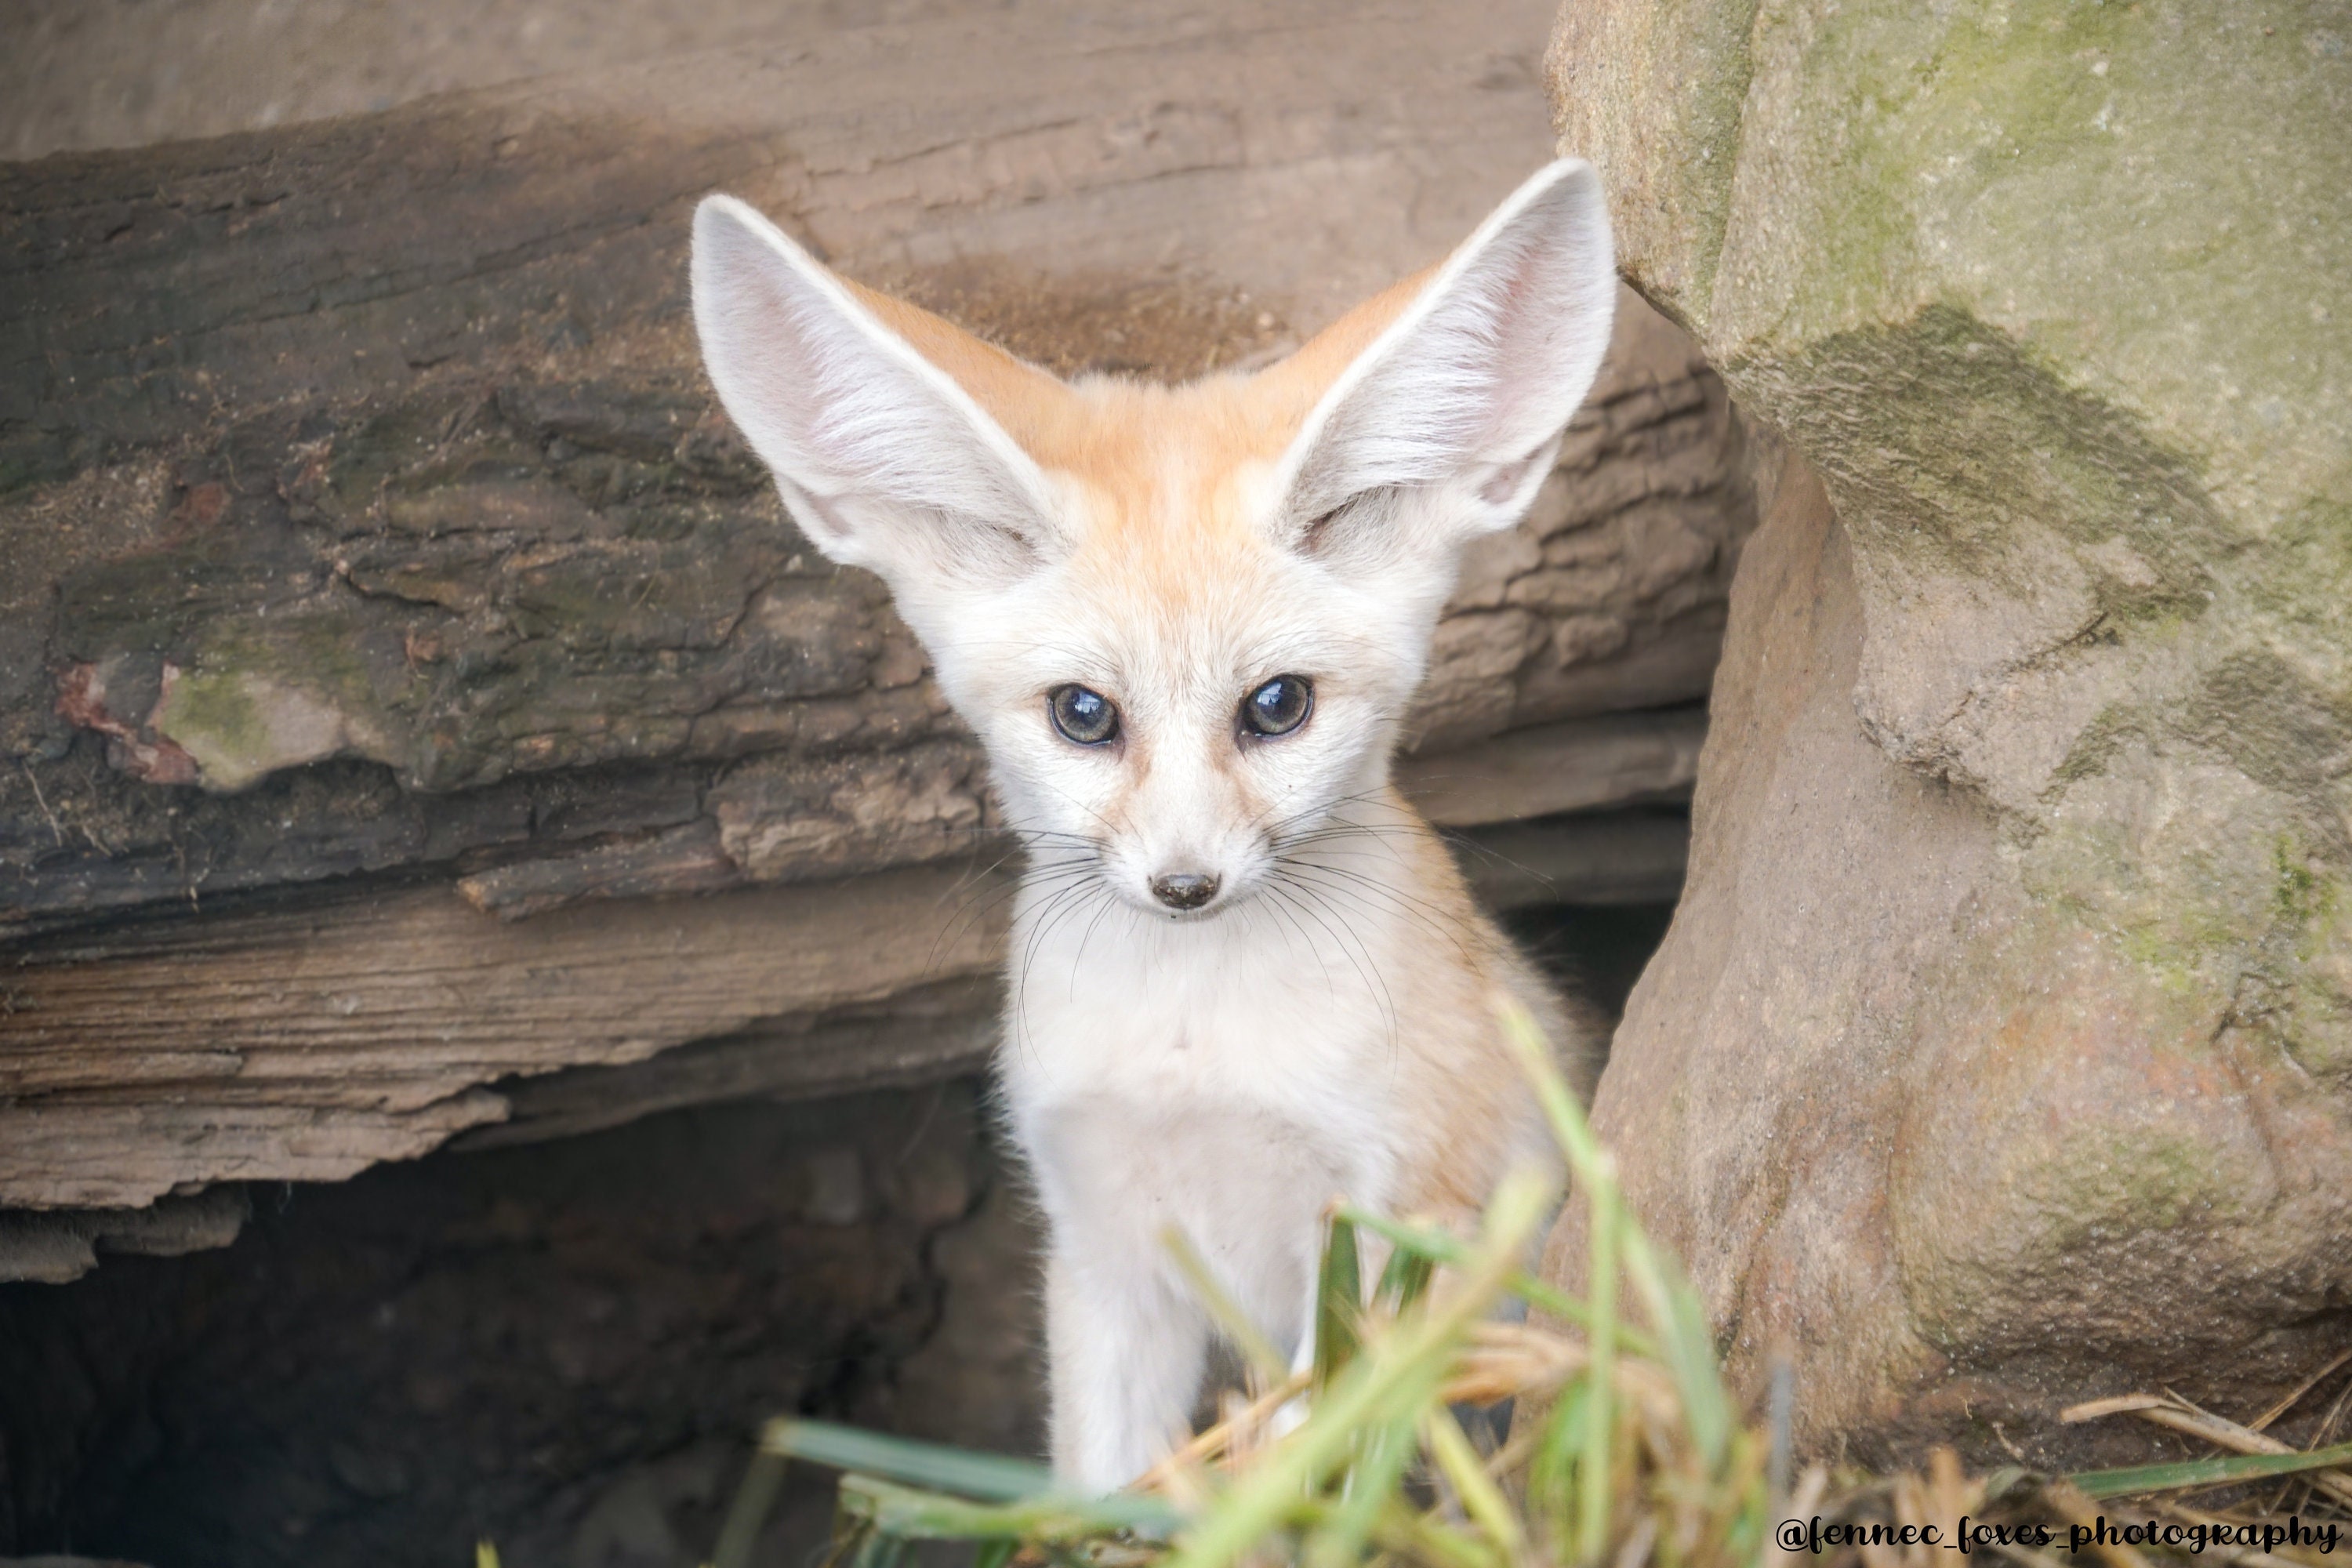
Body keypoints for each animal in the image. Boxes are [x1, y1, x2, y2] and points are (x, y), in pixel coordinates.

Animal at [690, 160, 1616, 1492]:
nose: (1186, 886)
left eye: (1276, 707)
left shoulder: (1407, 1223)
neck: (1194, 1047)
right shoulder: (1105, 1247)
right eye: (1085, 715)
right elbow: (1102, 1489)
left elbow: (1299, 1461)